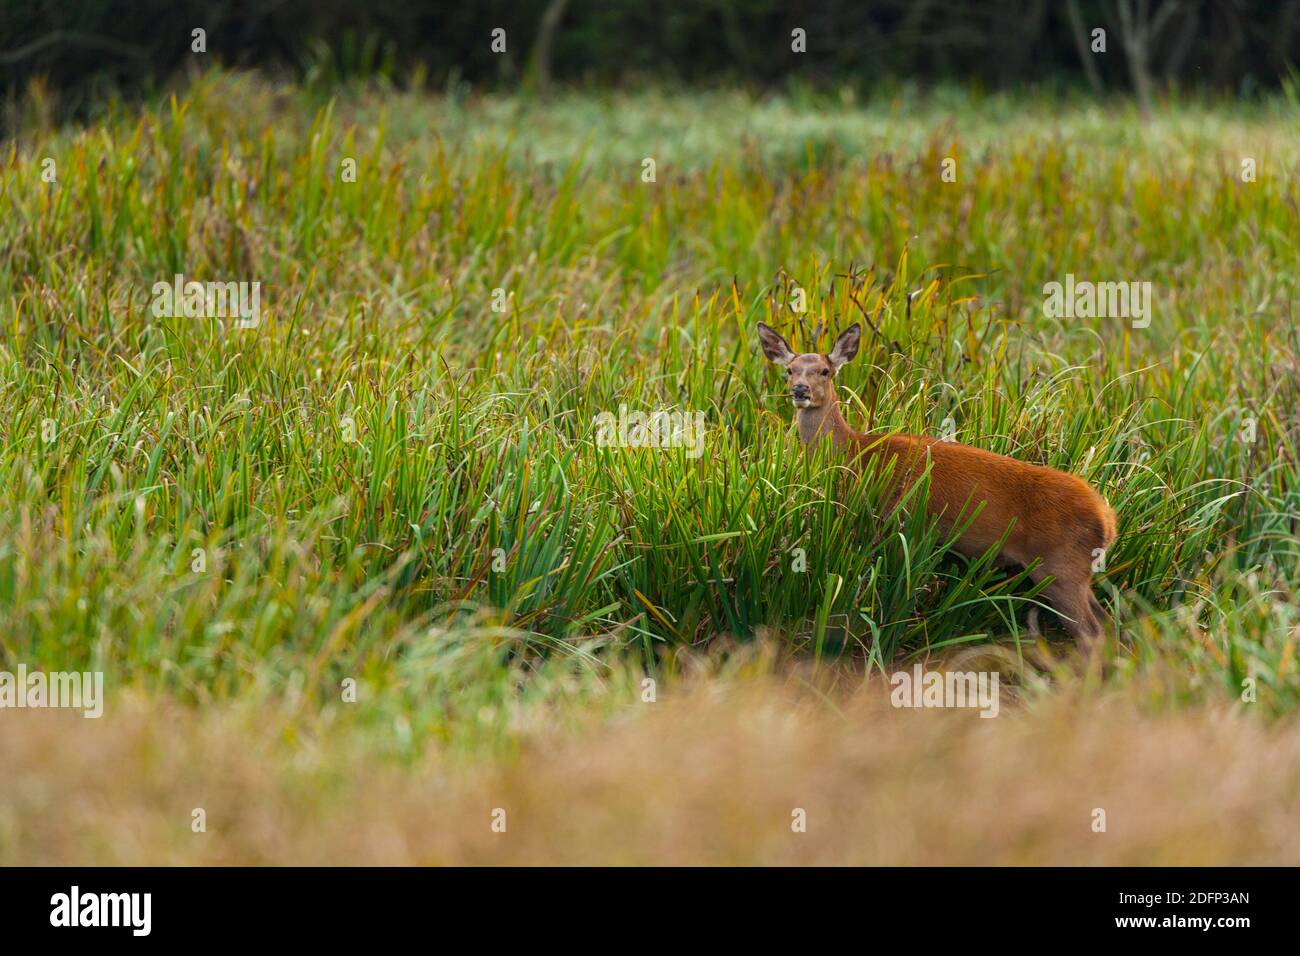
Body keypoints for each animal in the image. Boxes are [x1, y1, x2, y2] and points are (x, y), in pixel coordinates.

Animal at [756, 321, 1117, 652]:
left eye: (825, 371)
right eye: (789, 370)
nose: (800, 390)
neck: (856, 454)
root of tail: (1107, 519)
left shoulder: (896, 523)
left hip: (1060, 566)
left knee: (1093, 632)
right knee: (1108, 621)